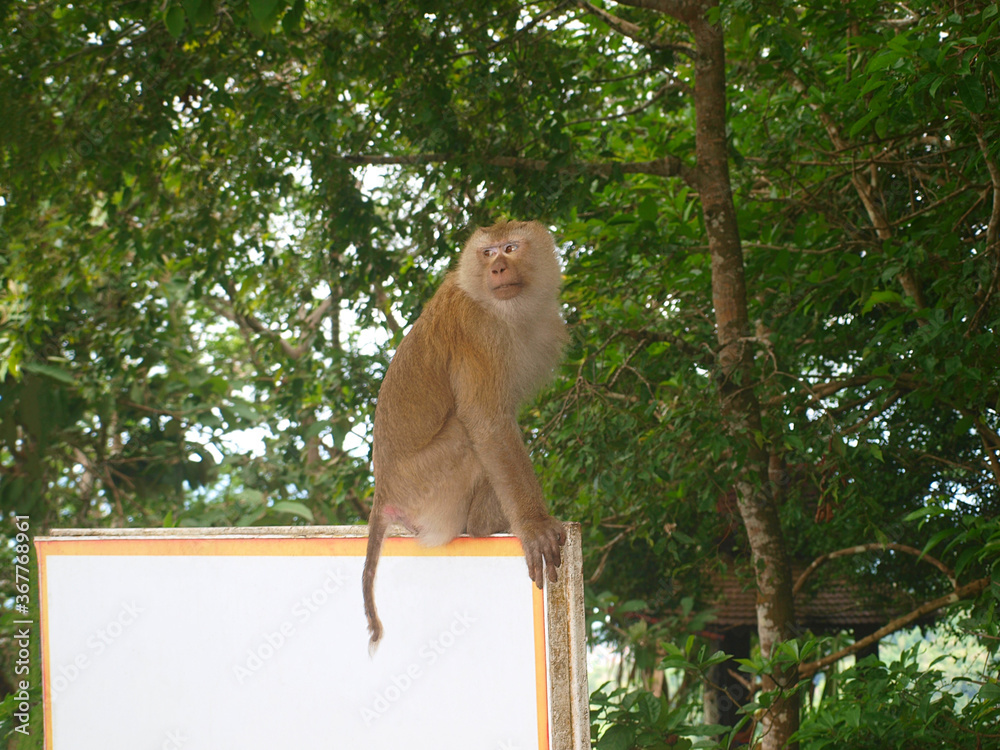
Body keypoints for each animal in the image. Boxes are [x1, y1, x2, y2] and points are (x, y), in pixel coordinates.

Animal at [363, 219, 568, 652]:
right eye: (488, 253)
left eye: (511, 247)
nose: (498, 268)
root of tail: (382, 493)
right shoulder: (479, 331)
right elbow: (489, 425)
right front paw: (534, 525)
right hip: (426, 484)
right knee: (465, 432)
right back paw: (483, 525)